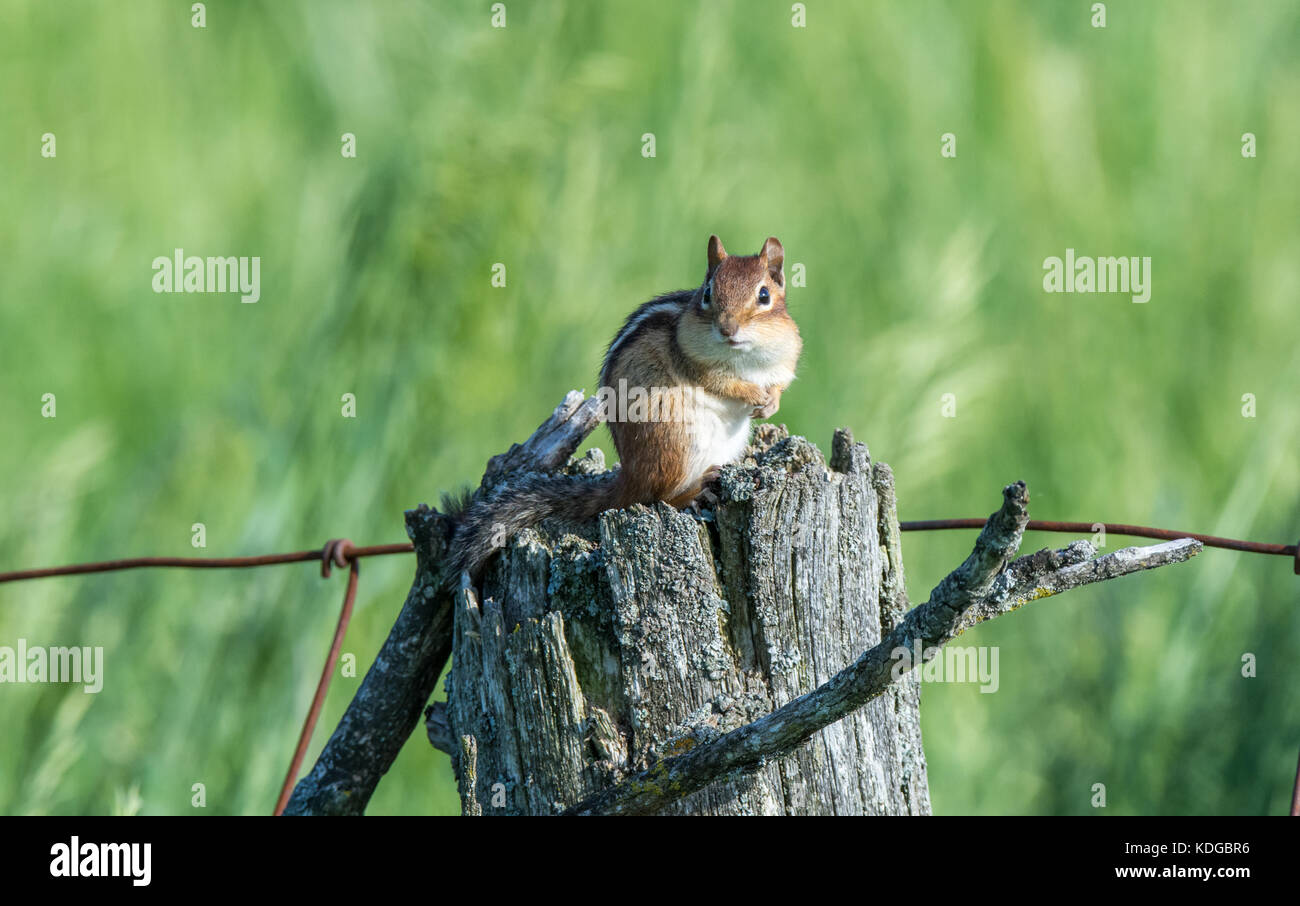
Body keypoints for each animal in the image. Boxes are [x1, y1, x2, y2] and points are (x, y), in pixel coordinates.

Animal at [445, 235, 801, 580]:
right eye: (708, 293)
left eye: (764, 295)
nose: (727, 329)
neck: (746, 357)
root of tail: (628, 478)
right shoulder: (694, 361)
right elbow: (723, 383)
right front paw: (753, 394)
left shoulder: (785, 360)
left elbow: (781, 383)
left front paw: (770, 402)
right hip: (676, 442)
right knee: (658, 497)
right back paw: (696, 492)